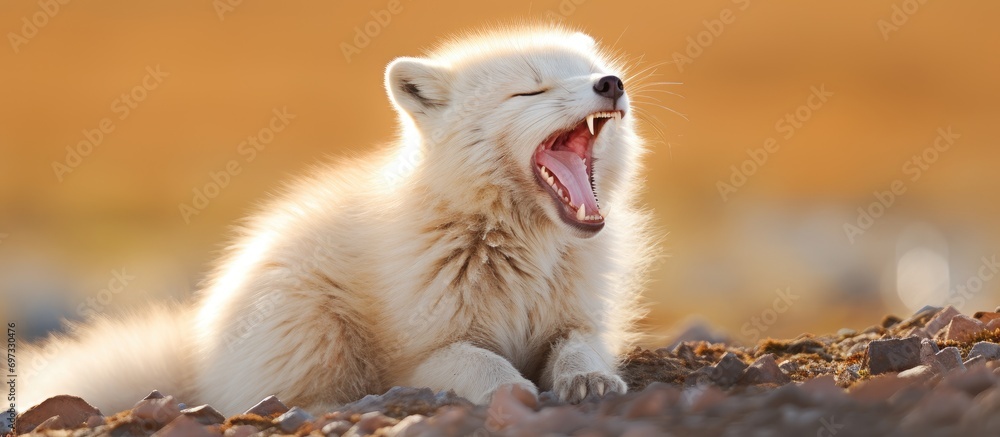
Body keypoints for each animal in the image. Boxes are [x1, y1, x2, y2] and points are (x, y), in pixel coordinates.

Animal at [21, 25, 656, 416]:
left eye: (592, 70)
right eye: (531, 90)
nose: (611, 83)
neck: (526, 252)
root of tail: (198, 354)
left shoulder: (584, 320)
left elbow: (580, 348)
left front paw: (587, 380)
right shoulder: (421, 352)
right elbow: (484, 364)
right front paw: (512, 391)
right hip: (310, 323)